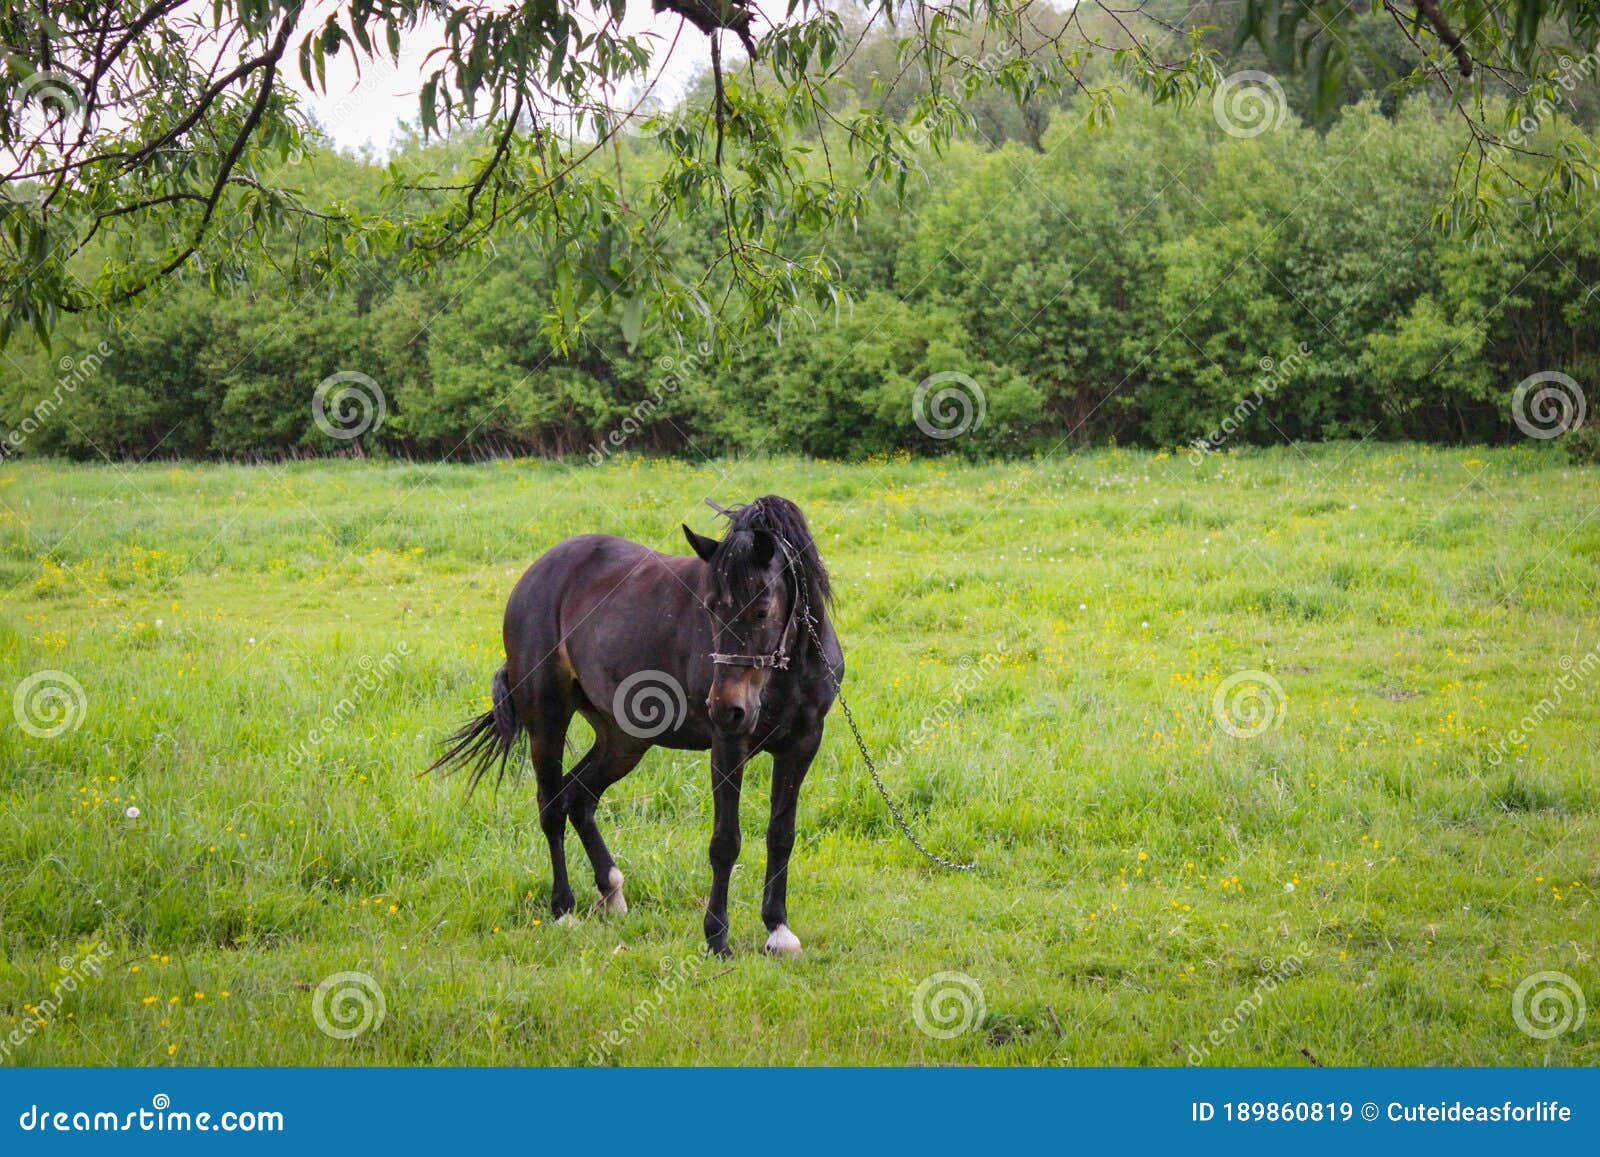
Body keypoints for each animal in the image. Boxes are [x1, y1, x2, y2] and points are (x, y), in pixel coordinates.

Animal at [427, 495, 842, 958]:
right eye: (711, 608)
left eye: (762, 609)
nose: (726, 707)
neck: (789, 670)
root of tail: (536, 573)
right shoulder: (728, 745)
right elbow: (726, 842)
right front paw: (717, 938)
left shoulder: (802, 744)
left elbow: (781, 835)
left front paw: (778, 930)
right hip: (547, 719)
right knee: (551, 805)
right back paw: (564, 909)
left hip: (622, 738)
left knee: (578, 798)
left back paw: (611, 892)